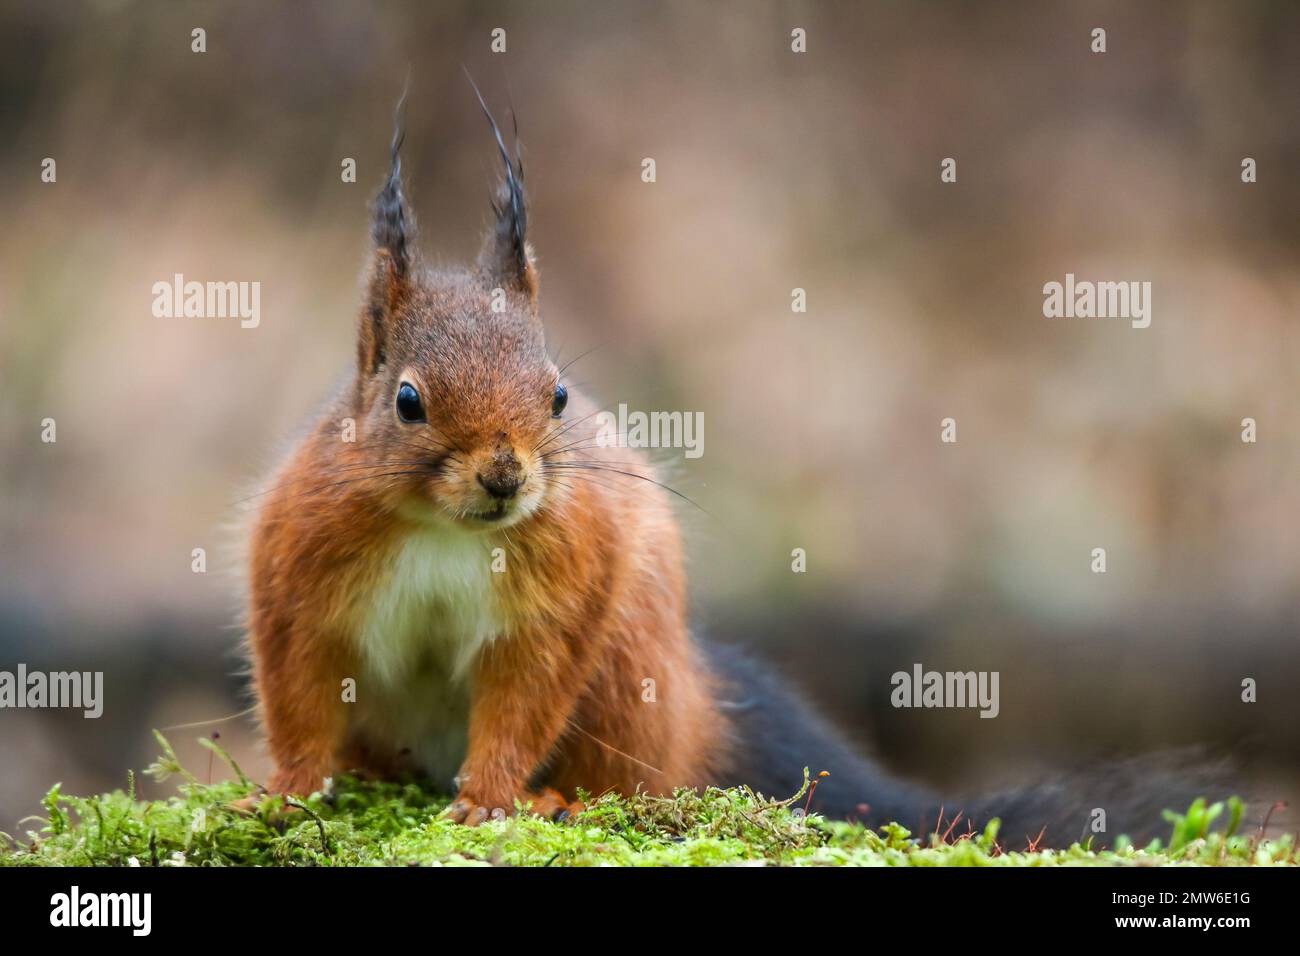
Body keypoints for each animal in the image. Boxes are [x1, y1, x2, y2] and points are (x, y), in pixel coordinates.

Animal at [245, 89, 1237, 841]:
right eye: (408, 402)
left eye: (558, 394)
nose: (506, 476)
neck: (445, 530)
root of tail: (693, 707)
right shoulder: (299, 569)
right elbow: (296, 688)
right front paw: (288, 790)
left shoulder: (565, 588)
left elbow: (524, 697)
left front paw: (489, 800)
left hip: (629, 673)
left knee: (634, 776)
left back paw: (564, 796)